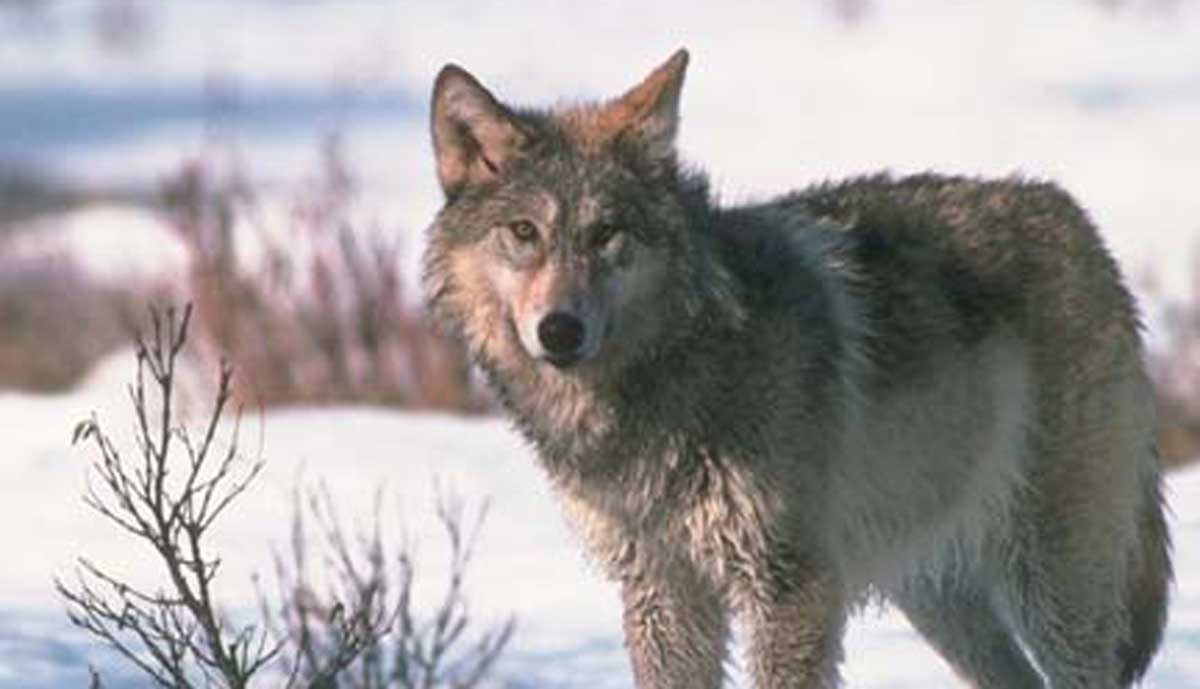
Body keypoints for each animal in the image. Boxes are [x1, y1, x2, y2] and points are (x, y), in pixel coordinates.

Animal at [421, 49, 1171, 689]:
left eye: (608, 235)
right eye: (524, 233)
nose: (559, 330)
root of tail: (1074, 218)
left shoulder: (789, 584)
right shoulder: (663, 591)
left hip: (1051, 580)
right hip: (938, 594)